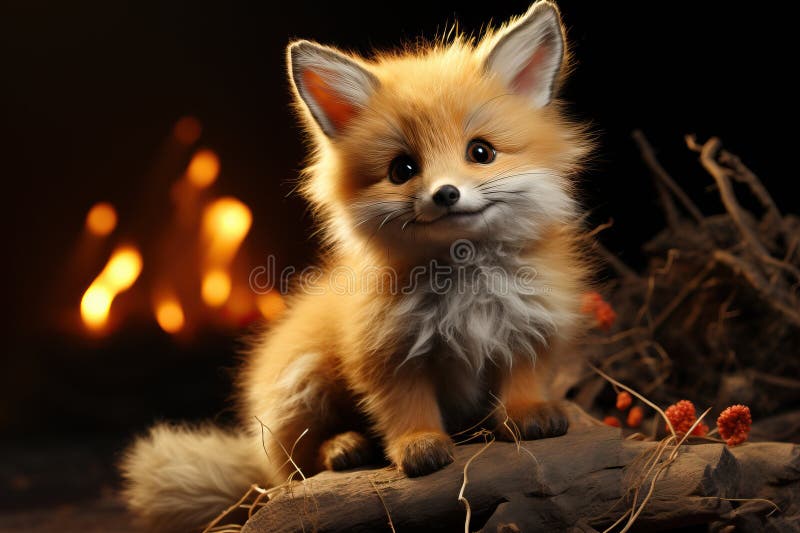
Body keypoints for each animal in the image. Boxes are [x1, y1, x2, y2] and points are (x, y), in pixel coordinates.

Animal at [121, 1, 593, 530]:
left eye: (481, 152)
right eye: (402, 169)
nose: (446, 193)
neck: (465, 288)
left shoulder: (528, 330)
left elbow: (521, 383)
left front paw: (528, 414)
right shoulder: (386, 355)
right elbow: (407, 411)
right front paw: (419, 447)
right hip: (302, 382)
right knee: (293, 466)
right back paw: (344, 447)